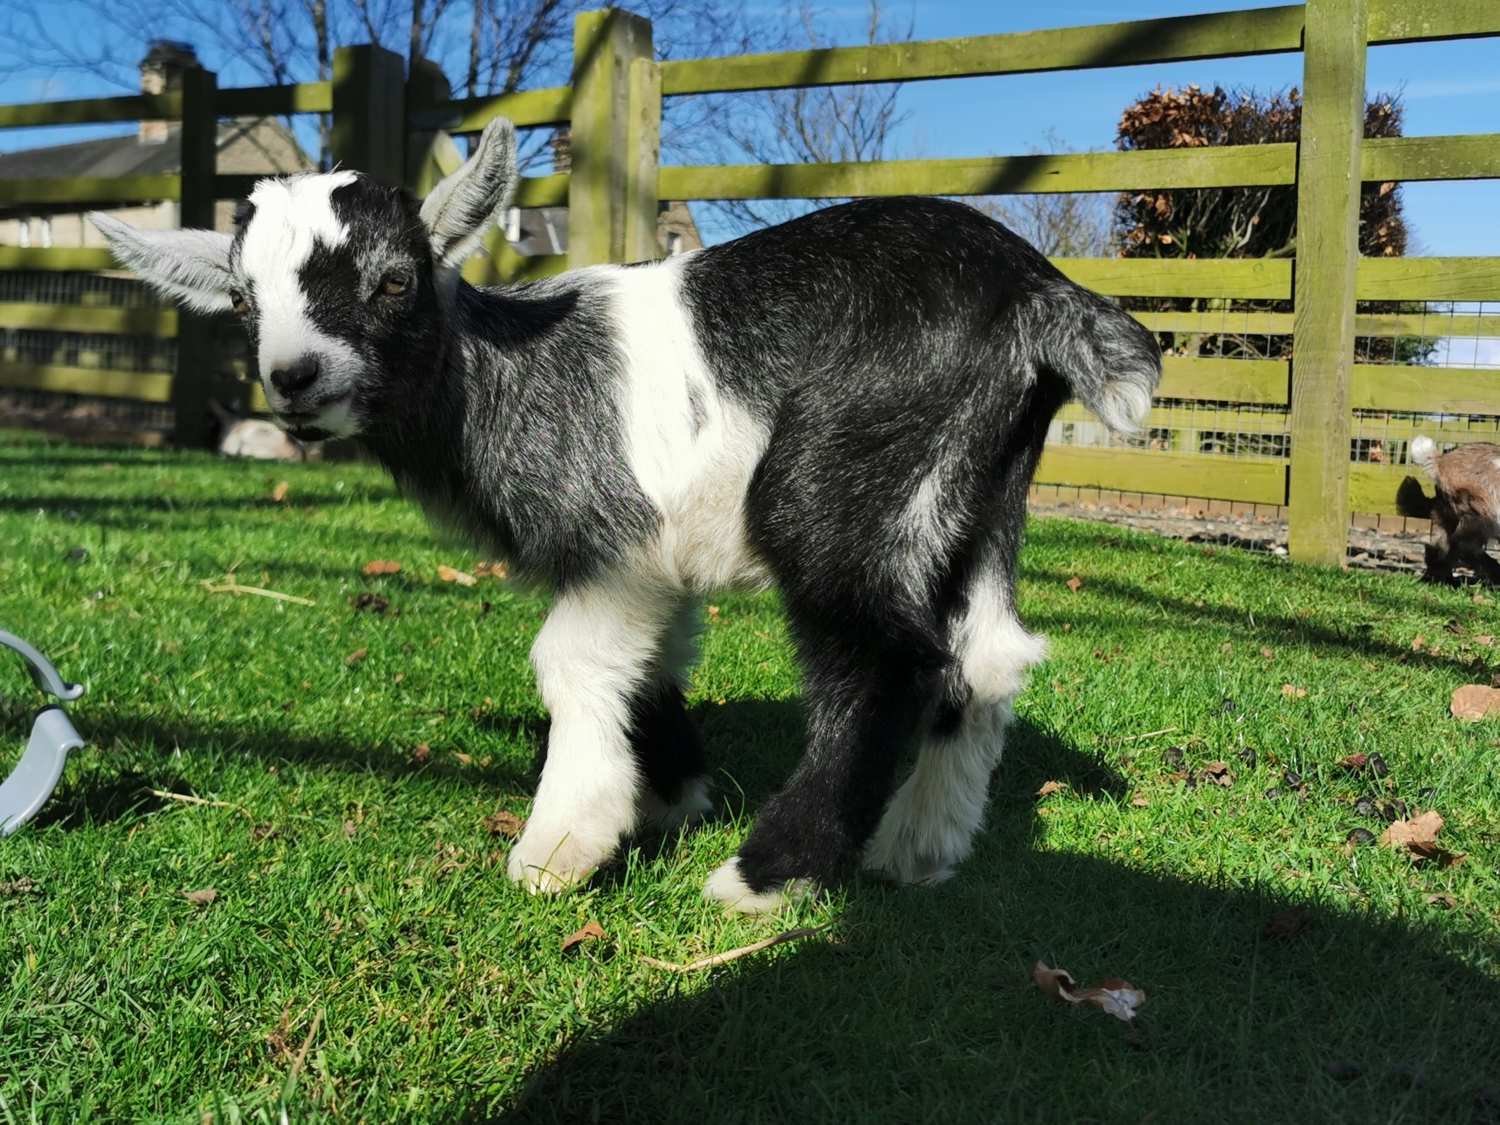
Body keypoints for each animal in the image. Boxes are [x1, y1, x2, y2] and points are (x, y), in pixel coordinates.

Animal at [91, 118, 1161, 912]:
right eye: (241, 301)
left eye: (393, 280)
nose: (294, 378)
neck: (501, 373)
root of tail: (1041, 293)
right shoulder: (659, 563)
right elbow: (656, 663)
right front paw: (672, 792)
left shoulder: (612, 539)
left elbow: (572, 661)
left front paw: (561, 842)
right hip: (971, 489)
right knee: (987, 656)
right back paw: (919, 848)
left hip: (844, 475)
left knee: (888, 662)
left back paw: (763, 877)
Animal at [1410, 435, 1500, 585]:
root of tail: (1440, 461)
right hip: (1481, 508)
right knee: (1464, 544)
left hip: (1448, 512)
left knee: (1440, 547)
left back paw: (1438, 580)